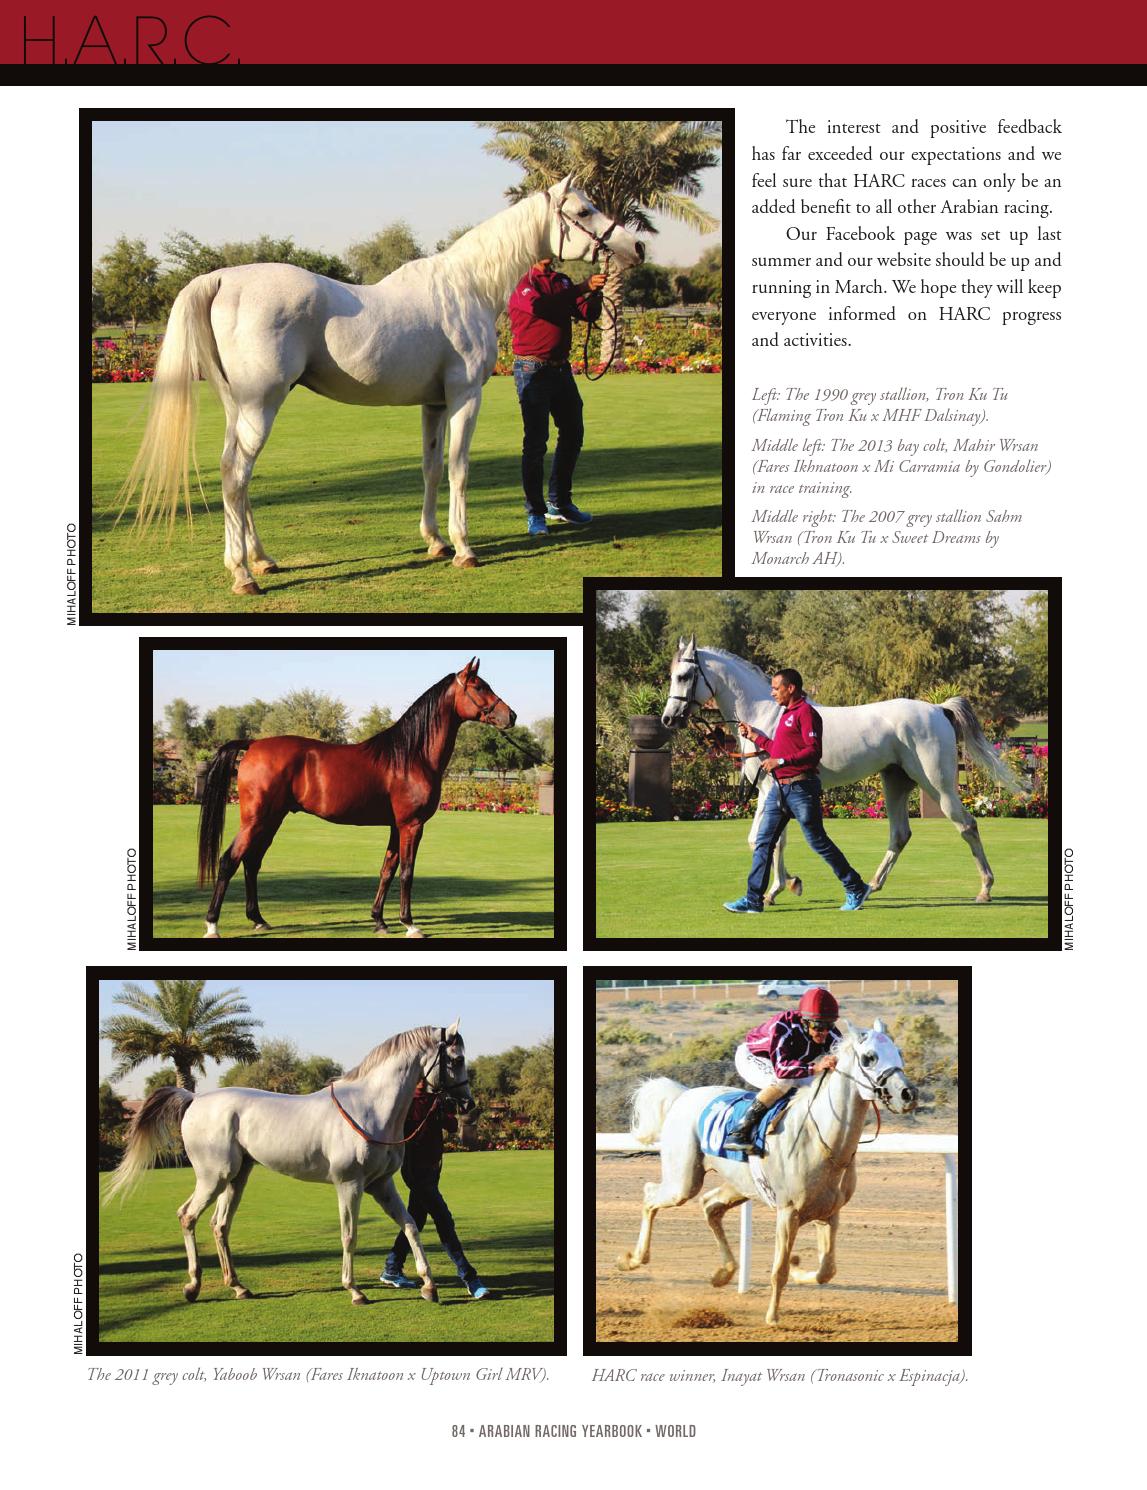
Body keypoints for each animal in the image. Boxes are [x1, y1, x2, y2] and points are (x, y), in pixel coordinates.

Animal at [104, 1021, 473, 1307]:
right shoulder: (349, 1185)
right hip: (213, 1177)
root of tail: (195, 1099)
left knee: (219, 1225)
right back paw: (193, 1286)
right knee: (188, 1216)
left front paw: (429, 1286)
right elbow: (350, 1234)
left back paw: (238, 1287)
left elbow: (410, 1225)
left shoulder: (381, 1185)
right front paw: (354, 1290)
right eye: (456, 1059)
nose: (468, 1104)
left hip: (237, 1178)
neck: (369, 1107)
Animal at [119, 175, 644, 596]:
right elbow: (459, 469)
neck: (467, 286)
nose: (635, 248)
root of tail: (223, 279)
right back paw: (243, 574)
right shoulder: (464, 397)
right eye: (583, 211)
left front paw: (434, 541)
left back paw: (262, 560)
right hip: (259, 404)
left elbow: (431, 468)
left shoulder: (434, 404)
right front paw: (464, 548)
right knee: (235, 475)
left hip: (240, 407)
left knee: (239, 477)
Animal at [195, 659, 515, 939]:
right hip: (256, 820)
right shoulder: (411, 825)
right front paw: (410, 924)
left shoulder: (395, 826)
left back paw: (259, 919)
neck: (412, 755)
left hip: (272, 819)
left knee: (252, 862)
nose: (510, 716)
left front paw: (379, 921)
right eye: (479, 687)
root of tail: (253, 744)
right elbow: (407, 872)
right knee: (229, 860)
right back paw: (212, 925)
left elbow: (387, 869)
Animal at [617, 1021, 917, 1325]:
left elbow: (826, 1271)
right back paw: (631, 1259)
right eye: (869, 1057)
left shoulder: (829, 1212)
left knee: (710, 1205)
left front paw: (798, 1268)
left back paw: (723, 1272)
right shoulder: (788, 1212)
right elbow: (779, 1270)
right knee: (651, 1195)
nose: (908, 1094)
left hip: (740, 1184)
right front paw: (772, 1317)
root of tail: (683, 1094)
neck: (822, 1138)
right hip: (683, 1180)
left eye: (898, 1053)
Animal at [662, 635, 1025, 904]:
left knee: (967, 826)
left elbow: (764, 840)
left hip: (940, 785)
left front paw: (781, 887)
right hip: (895, 782)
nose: (668, 719)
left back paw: (984, 889)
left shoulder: (769, 790)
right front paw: (784, 885)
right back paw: (872, 885)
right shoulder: (776, 794)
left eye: (684, 676)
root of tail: (938, 709)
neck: (770, 716)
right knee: (900, 834)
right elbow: (769, 840)